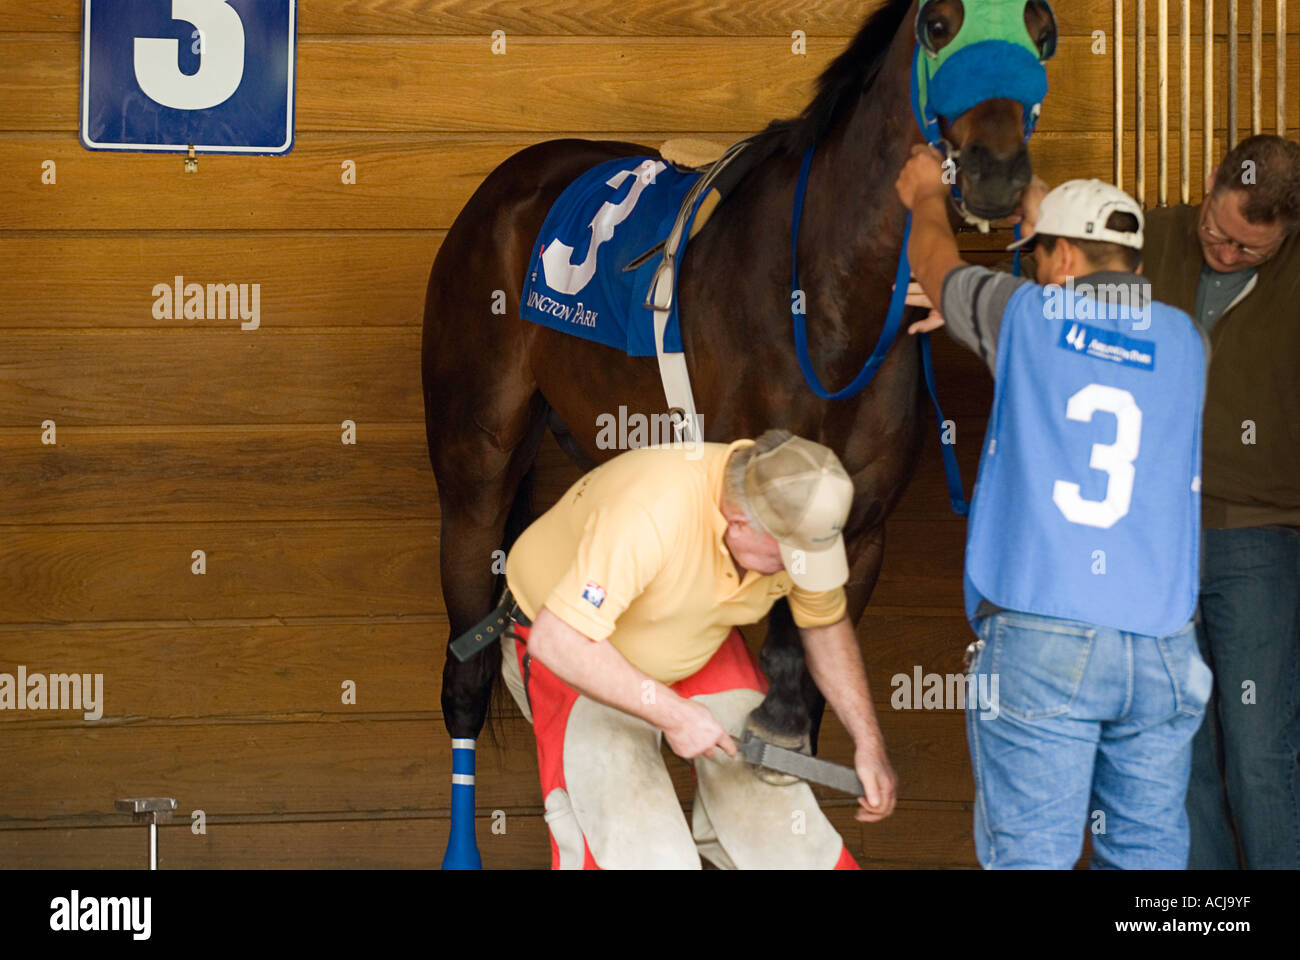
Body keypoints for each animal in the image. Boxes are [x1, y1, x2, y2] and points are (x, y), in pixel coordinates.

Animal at [422, 0, 1056, 865]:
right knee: (468, 674)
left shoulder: (859, 535)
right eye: (938, 25)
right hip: (474, 477)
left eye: (1044, 31)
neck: (826, 296)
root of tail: (504, 185)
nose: (998, 172)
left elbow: (800, 701)